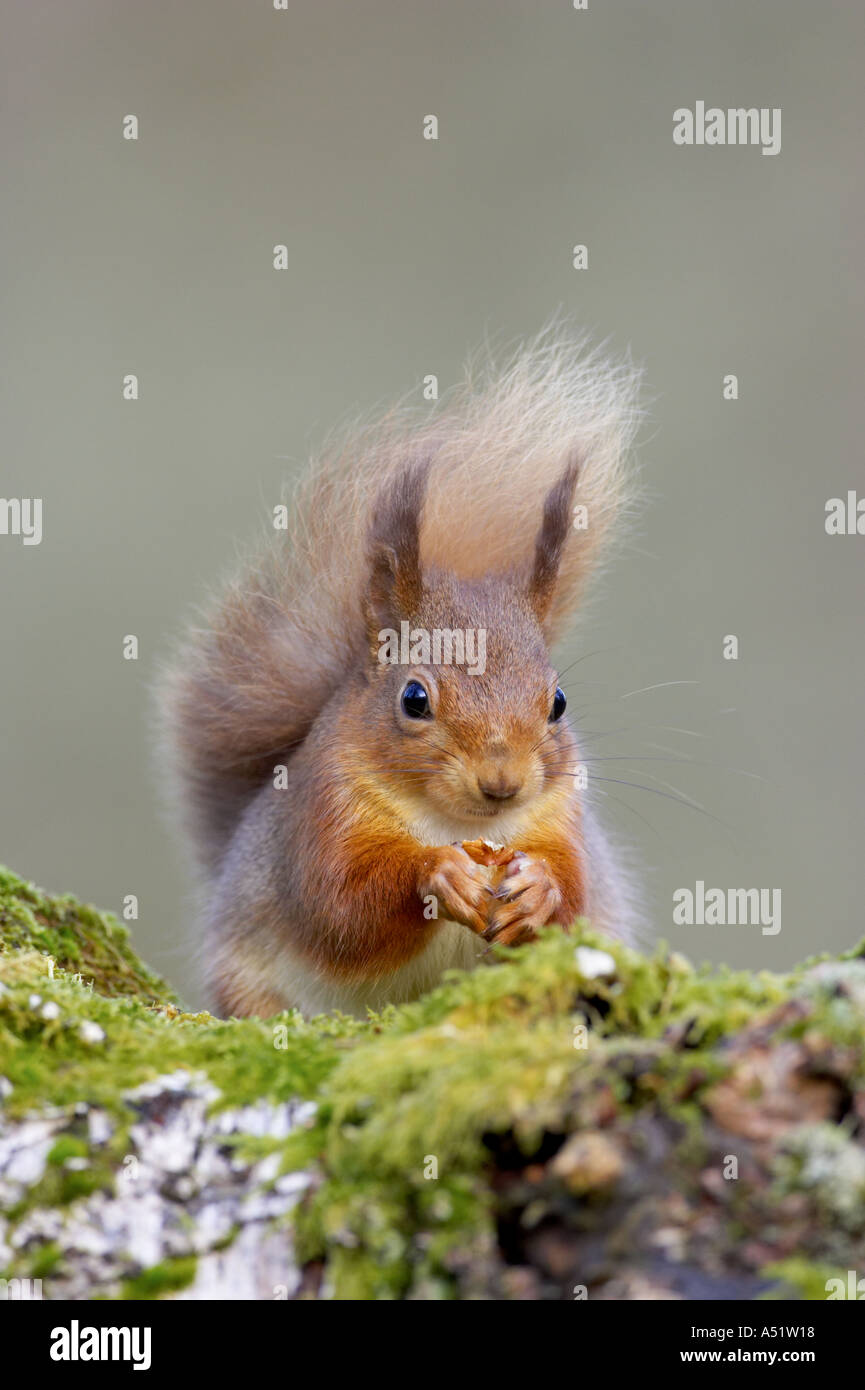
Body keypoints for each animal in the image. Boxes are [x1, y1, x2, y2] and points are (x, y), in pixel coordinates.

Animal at [158, 328, 642, 1018]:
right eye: (414, 698)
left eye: (559, 702)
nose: (502, 783)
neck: (460, 826)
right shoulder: (320, 816)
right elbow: (342, 909)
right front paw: (437, 874)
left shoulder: (563, 819)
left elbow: (574, 895)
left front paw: (540, 890)